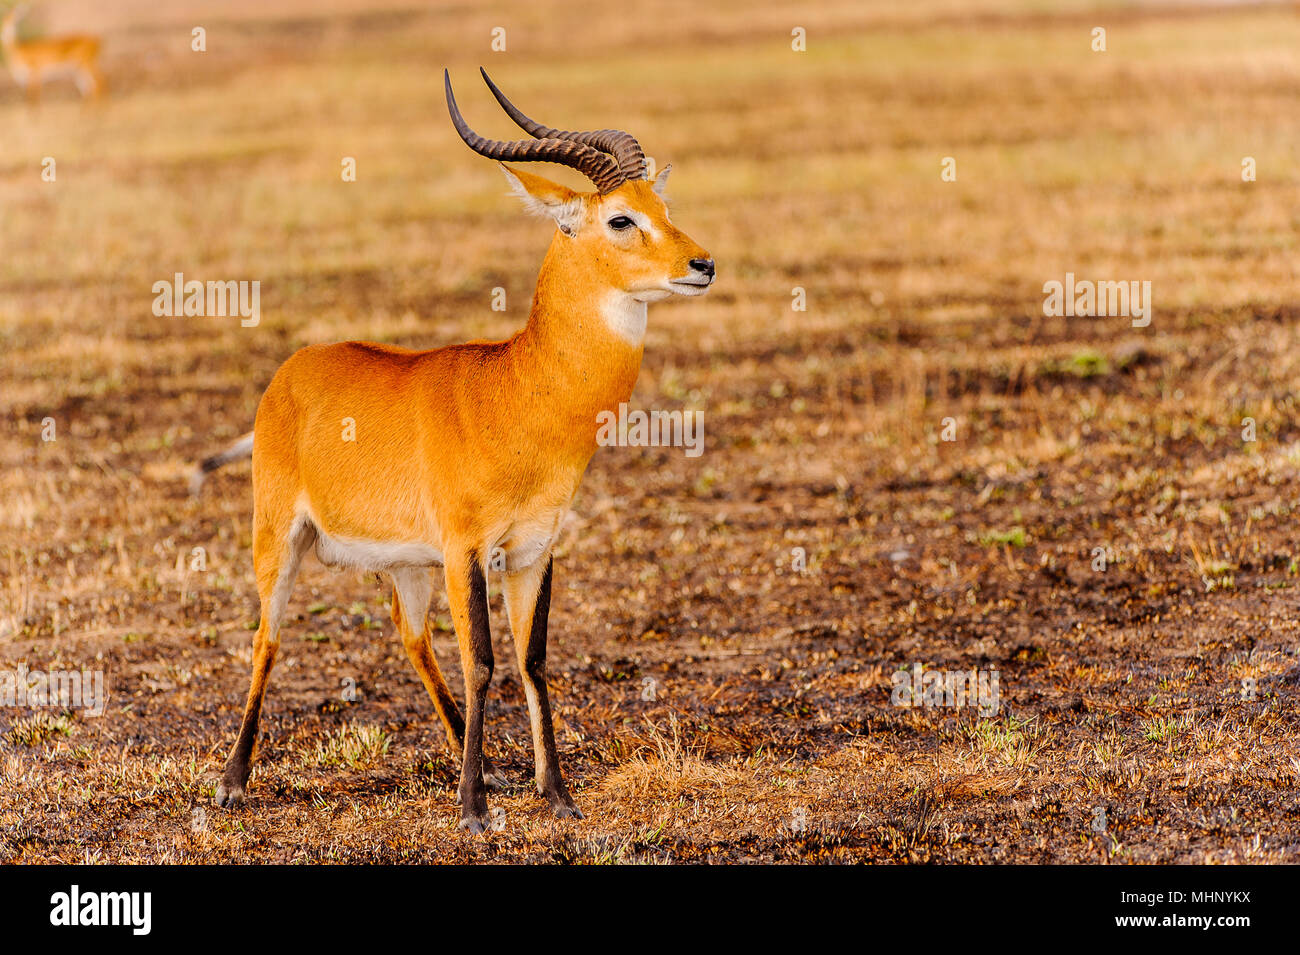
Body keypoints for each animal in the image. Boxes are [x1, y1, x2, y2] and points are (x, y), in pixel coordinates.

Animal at [208, 69, 715, 832]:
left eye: (664, 203)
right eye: (621, 219)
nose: (702, 264)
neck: (514, 392)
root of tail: (295, 368)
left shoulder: (533, 550)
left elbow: (532, 660)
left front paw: (554, 792)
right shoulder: (466, 548)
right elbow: (483, 660)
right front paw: (475, 809)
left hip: (408, 564)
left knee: (409, 633)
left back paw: (477, 764)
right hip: (280, 537)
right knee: (268, 637)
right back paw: (235, 781)